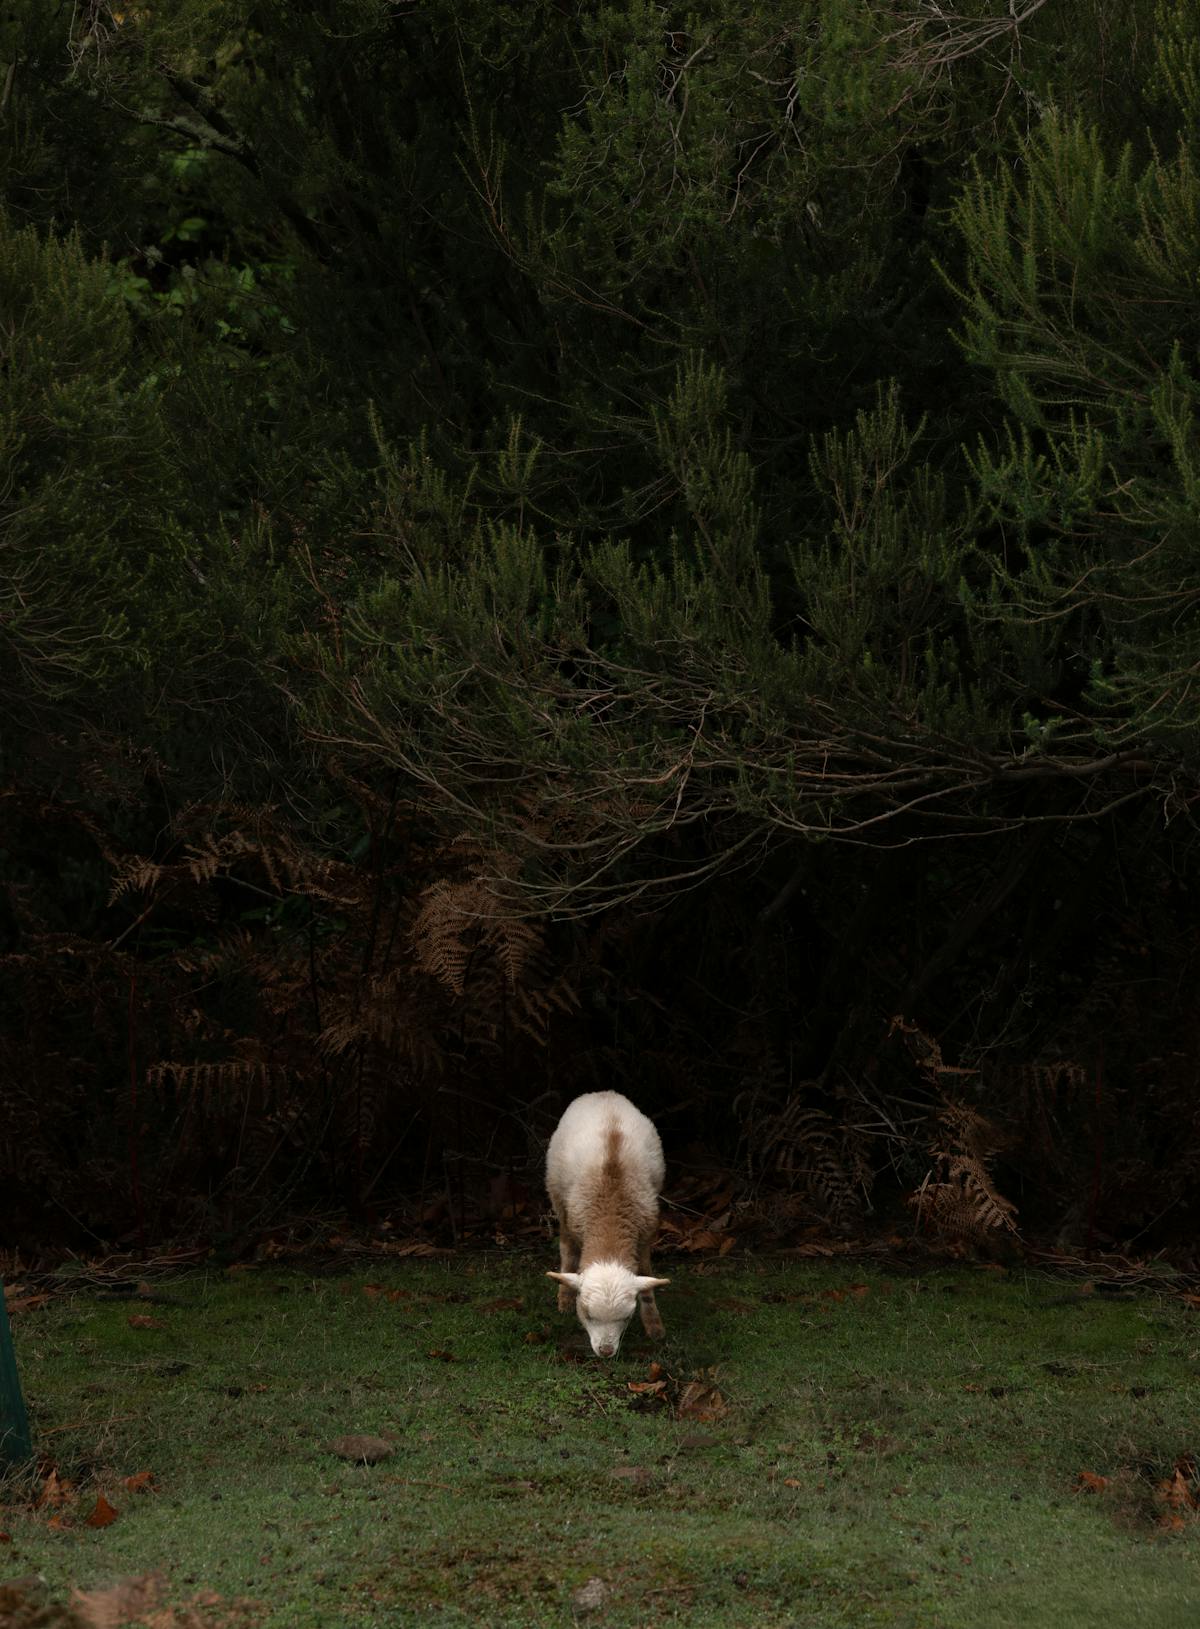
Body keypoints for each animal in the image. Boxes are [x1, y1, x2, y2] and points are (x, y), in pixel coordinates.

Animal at [545, 1090, 669, 1357]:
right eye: (587, 1314)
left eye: (626, 1318)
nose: (606, 1351)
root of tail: (603, 1094)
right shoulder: (574, 1218)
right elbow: (569, 1253)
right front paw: (567, 1298)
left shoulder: (646, 1233)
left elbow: (646, 1274)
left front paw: (654, 1325)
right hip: (557, 1194)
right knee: (566, 1247)